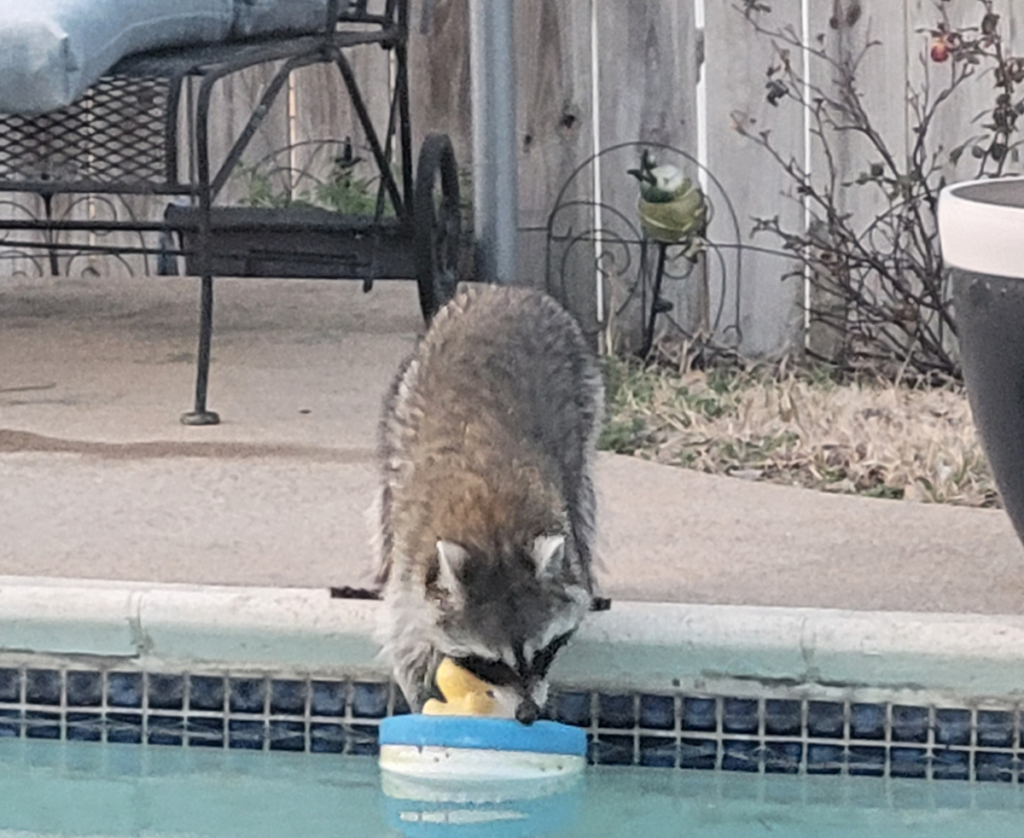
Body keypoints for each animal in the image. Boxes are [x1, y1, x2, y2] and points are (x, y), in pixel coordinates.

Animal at [375, 284, 603, 724]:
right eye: (491, 663)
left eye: (543, 651)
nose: (529, 714)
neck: (494, 529)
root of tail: (505, 290)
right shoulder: (413, 552)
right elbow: (405, 628)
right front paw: (418, 688)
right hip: (403, 400)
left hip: (584, 397)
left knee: (583, 495)